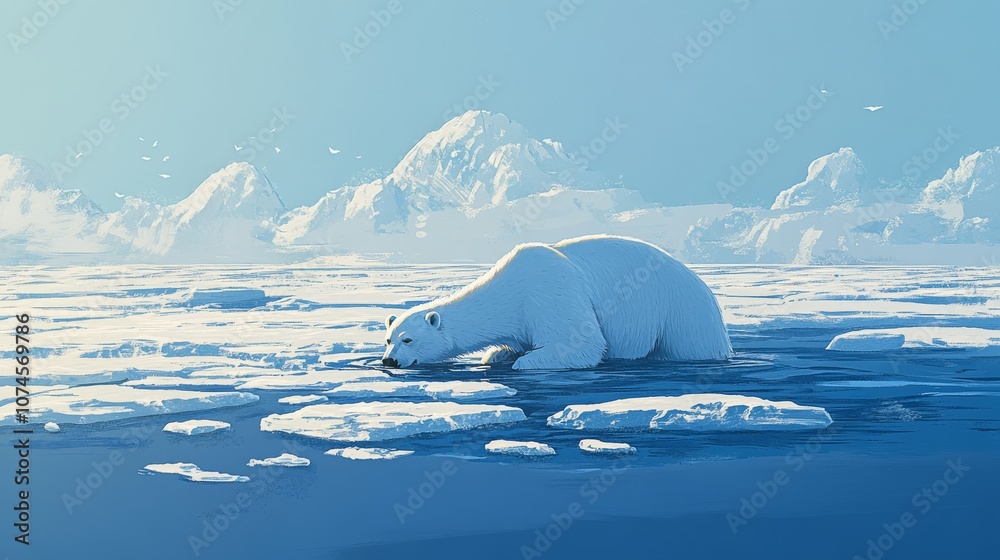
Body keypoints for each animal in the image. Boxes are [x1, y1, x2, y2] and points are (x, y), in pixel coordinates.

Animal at [381, 234, 732, 370]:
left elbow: (582, 342)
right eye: (388, 338)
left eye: (407, 339)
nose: (388, 361)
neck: (509, 289)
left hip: (681, 316)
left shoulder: (550, 291)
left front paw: (524, 361)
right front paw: (497, 354)